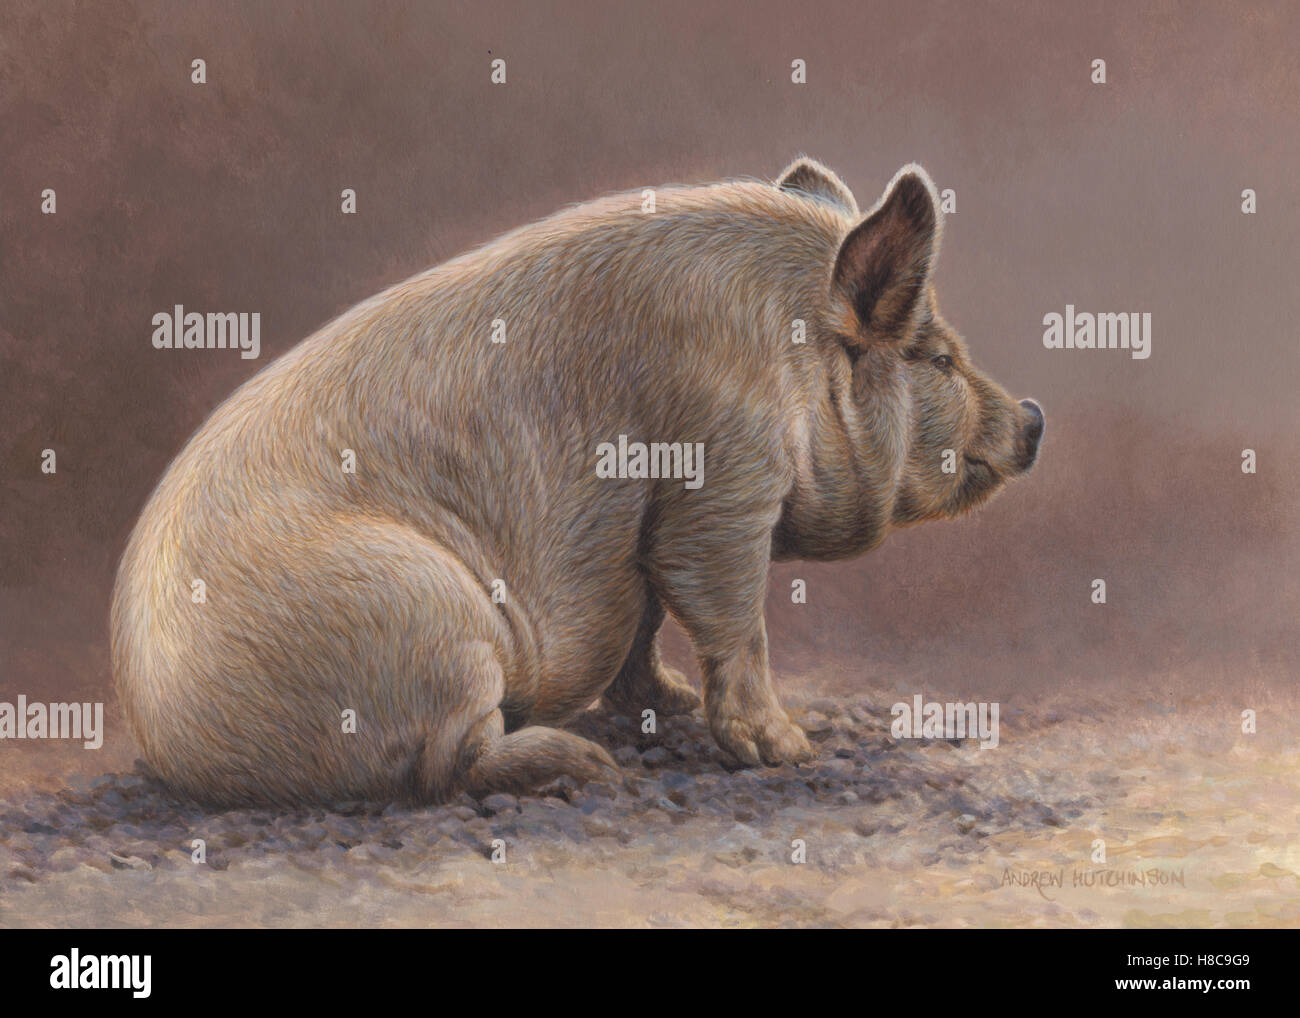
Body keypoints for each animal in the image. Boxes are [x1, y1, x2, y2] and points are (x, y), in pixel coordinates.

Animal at [110, 158, 1044, 806]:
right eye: (937, 358)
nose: (1035, 417)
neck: (792, 355)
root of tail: (178, 738)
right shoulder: (721, 480)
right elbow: (730, 615)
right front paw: (789, 751)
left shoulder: (638, 535)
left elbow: (647, 620)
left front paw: (668, 705)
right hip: (425, 612)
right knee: (447, 767)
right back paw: (589, 769)